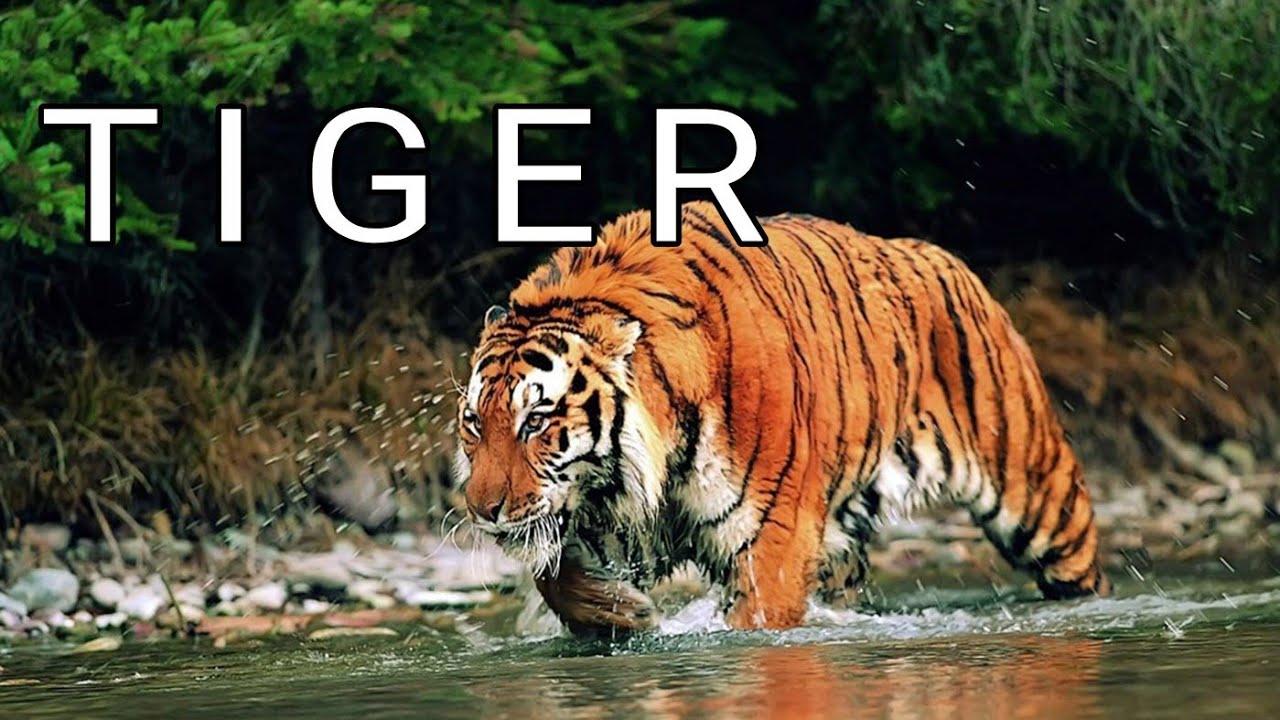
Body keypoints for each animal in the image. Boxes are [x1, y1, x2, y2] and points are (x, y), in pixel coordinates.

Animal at [452, 201, 1110, 633]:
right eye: (475, 425)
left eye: (536, 422)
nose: (482, 511)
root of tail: (942, 257)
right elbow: (553, 576)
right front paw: (624, 614)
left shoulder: (771, 538)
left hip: (1039, 496)